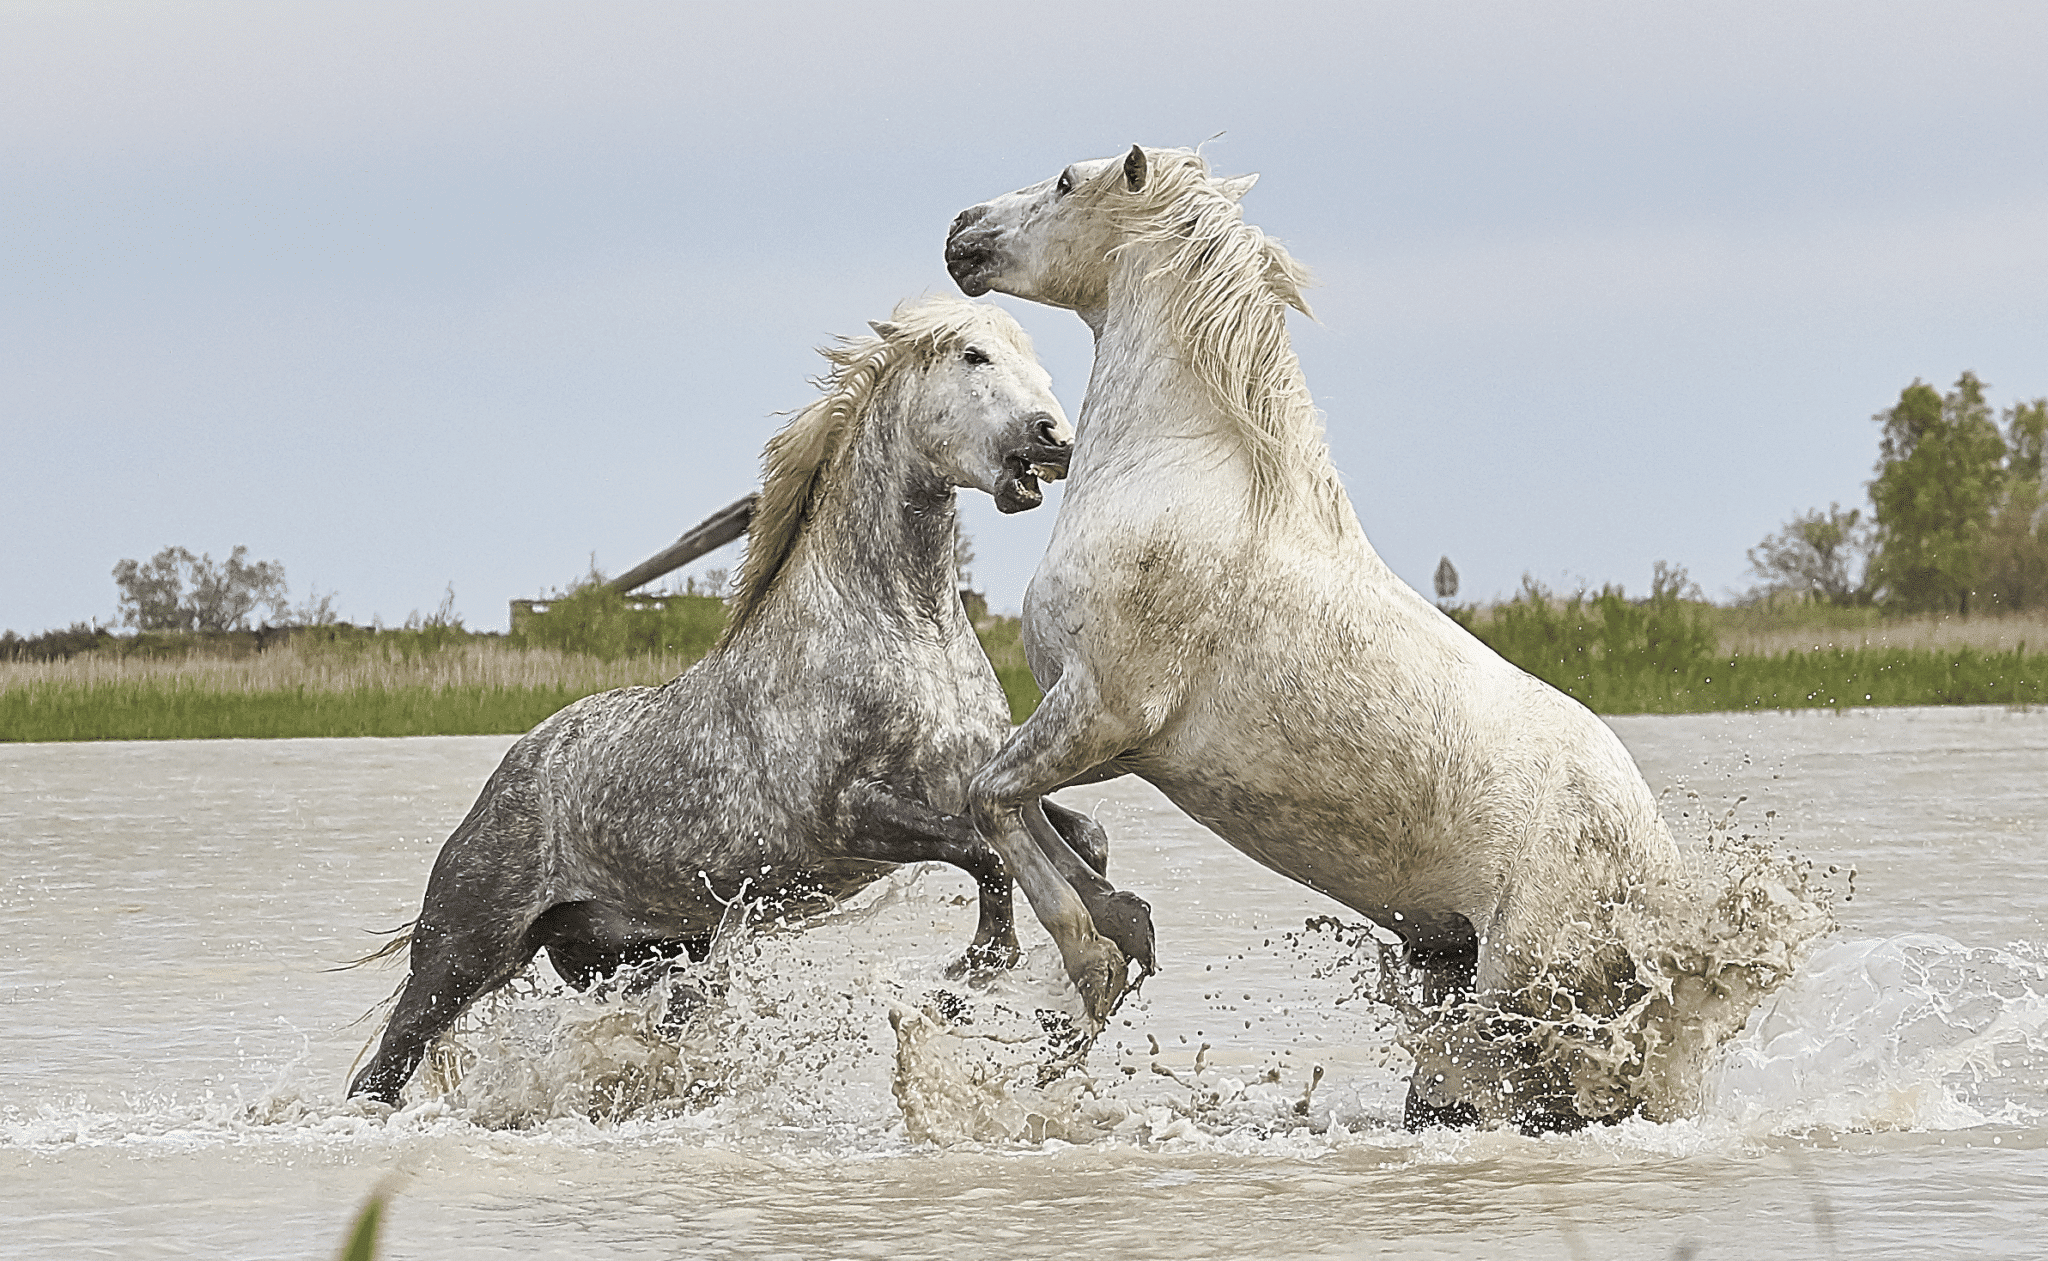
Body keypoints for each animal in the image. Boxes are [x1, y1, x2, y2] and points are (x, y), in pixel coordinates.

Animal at [348, 295, 1118, 1107]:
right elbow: (983, 853)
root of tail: (515, 768)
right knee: (382, 1072)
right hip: (463, 955)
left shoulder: (968, 780)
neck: (907, 629)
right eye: (974, 356)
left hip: (632, 954)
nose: (1054, 438)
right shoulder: (847, 818)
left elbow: (1080, 836)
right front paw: (978, 964)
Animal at [945, 147, 1685, 1129]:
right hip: (1456, 967)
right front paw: (1125, 927)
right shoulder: (1100, 734)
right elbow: (1018, 799)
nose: (961, 230)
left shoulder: (1104, 711)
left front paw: (1093, 964)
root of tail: (1654, 863)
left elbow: (989, 795)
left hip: (1513, 1005)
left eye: (1067, 180)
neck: (1176, 478)